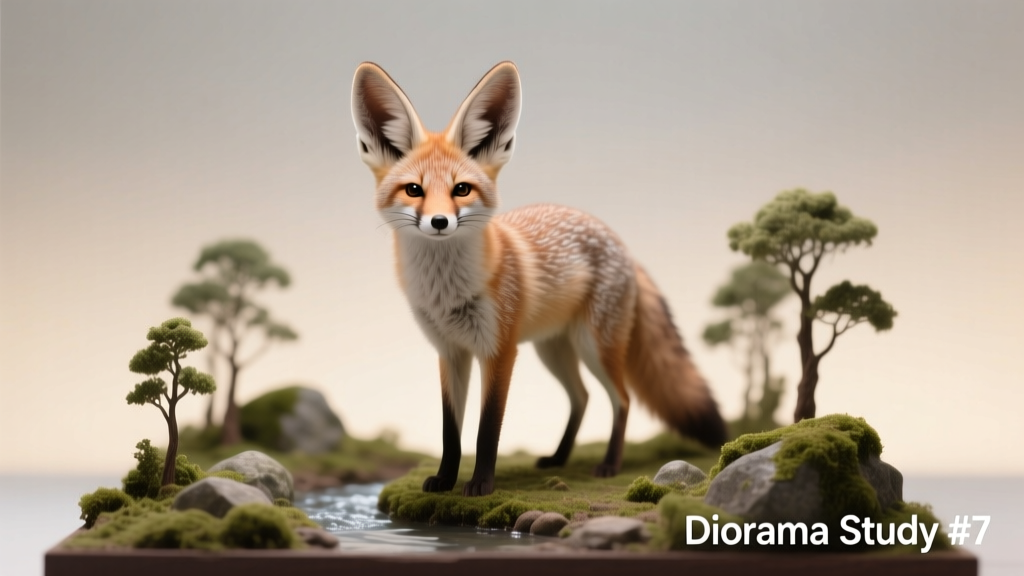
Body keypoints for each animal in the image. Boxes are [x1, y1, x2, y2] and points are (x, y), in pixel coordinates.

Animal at [350, 61, 726, 497]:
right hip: (554, 350)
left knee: (622, 400)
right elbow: (450, 430)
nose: (440, 222)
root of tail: (619, 242)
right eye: (414, 190)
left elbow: (487, 428)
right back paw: (558, 458)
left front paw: (480, 485)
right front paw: (445, 479)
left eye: (462, 189)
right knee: (582, 397)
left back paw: (609, 465)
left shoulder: (499, 350)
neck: (447, 290)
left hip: (594, 347)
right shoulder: (450, 351)